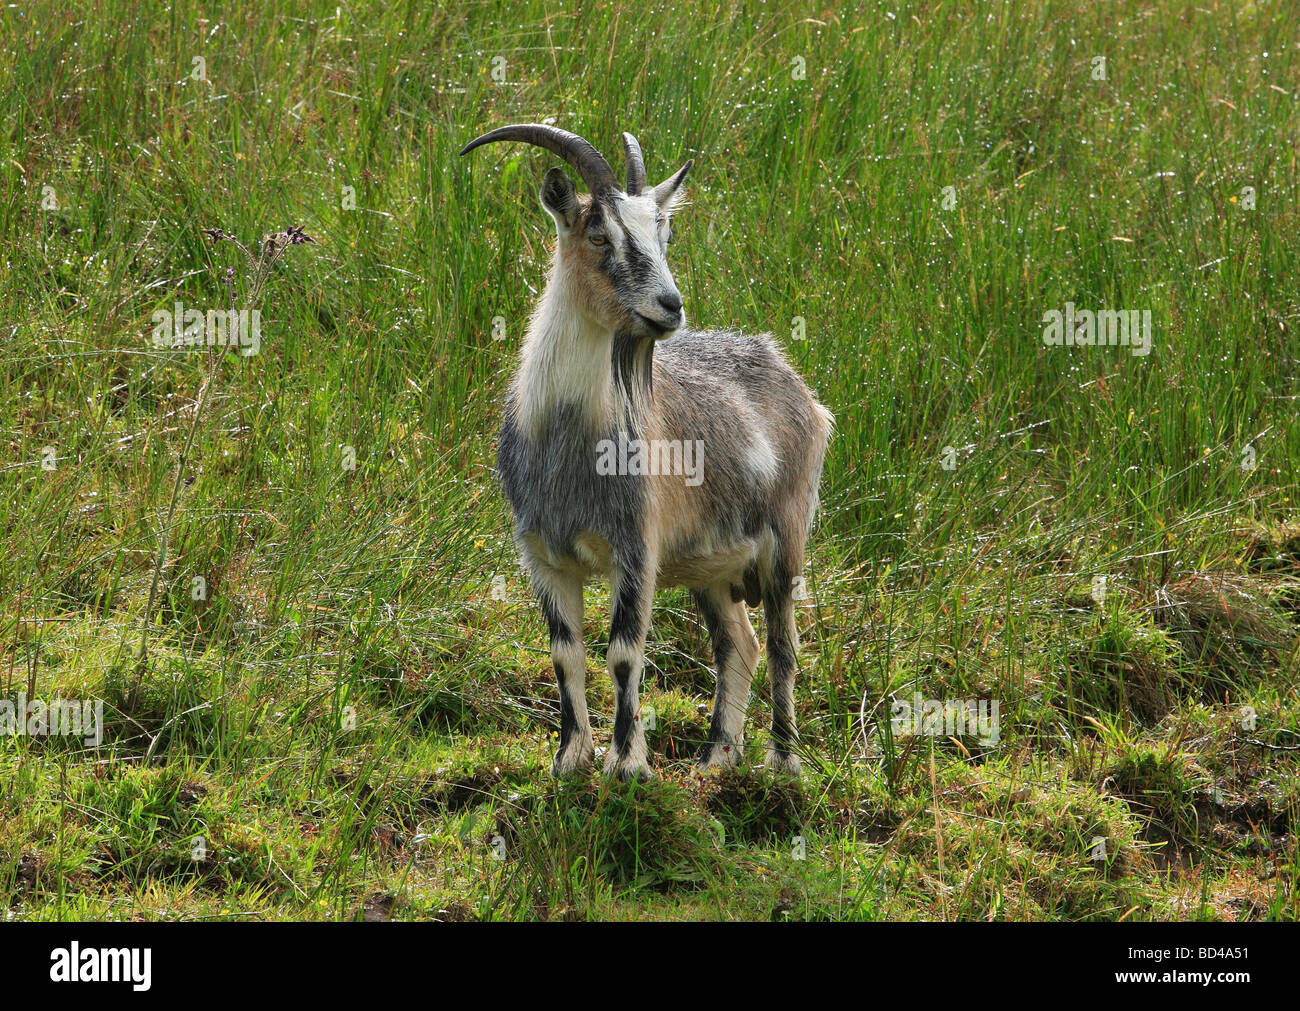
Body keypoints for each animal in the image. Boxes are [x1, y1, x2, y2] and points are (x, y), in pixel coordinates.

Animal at [461, 124, 832, 781]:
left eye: (665, 235)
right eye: (598, 233)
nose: (670, 305)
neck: (570, 441)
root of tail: (797, 385)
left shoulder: (635, 549)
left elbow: (624, 652)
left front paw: (627, 764)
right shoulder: (544, 556)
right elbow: (565, 654)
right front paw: (569, 759)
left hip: (785, 538)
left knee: (782, 646)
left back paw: (784, 761)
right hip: (712, 564)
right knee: (738, 643)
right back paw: (716, 756)